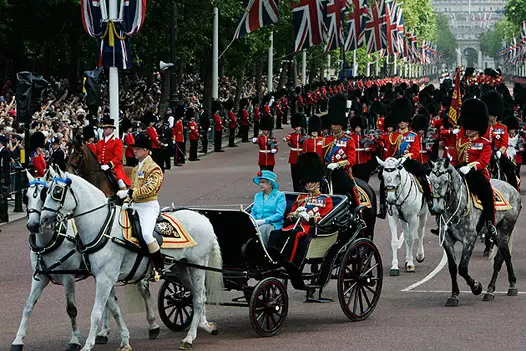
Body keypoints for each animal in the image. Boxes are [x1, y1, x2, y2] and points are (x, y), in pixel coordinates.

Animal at [12, 168, 160, 351]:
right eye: (26, 197)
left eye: (44, 193)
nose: (33, 225)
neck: (53, 238)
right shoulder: (40, 276)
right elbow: (28, 306)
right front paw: (18, 340)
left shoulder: (68, 277)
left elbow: (71, 309)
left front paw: (75, 340)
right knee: (110, 301)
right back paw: (103, 332)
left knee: (143, 290)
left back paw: (153, 325)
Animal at [40, 169, 223, 350]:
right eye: (45, 192)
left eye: (57, 192)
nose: (44, 219)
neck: (103, 228)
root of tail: (203, 217)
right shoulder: (103, 277)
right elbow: (114, 309)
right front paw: (124, 340)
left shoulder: (105, 278)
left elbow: (97, 312)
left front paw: (88, 345)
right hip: (181, 267)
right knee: (197, 295)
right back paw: (205, 326)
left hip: (198, 265)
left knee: (198, 299)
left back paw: (189, 338)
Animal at [428, 158, 524, 306]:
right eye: (431, 181)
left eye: (445, 181)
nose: (437, 209)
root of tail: (512, 189)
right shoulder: (447, 241)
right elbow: (452, 267)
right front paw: (453, 295)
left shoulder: (469, 239)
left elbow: (462, 268)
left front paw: (476, 287)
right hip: (496, 235)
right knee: (502, 255)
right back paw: (496, 288)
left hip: (505, 230)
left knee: (503, 256)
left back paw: (501, 288)